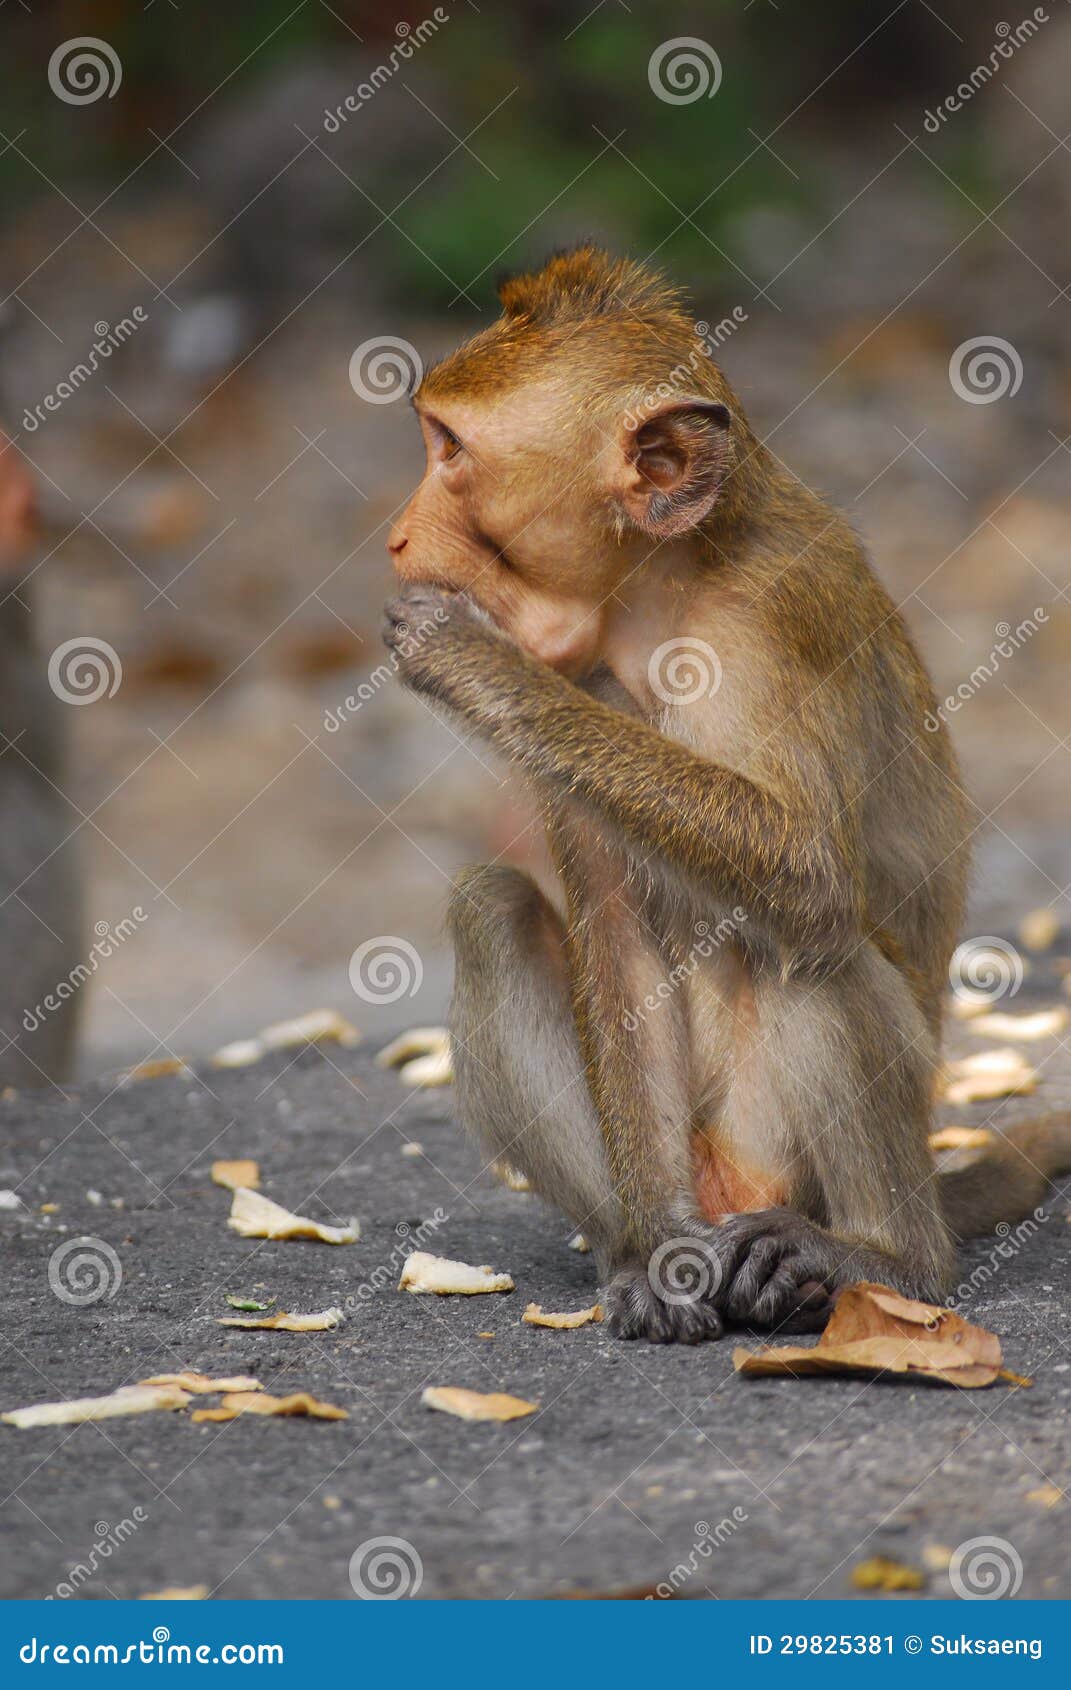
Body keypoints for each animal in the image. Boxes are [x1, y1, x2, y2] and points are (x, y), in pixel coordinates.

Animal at [381, 247, 1071, 1342]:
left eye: (448, 451)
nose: (398, 537)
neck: (666, 588)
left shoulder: (764, 626)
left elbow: (810, 872)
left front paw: (467, 661)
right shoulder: (593, 680)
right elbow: (616, 937)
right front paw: (657, 1255)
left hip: (786, 1163)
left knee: (811, 939)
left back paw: (884, 1259)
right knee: (492, 911)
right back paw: (640, 1248)